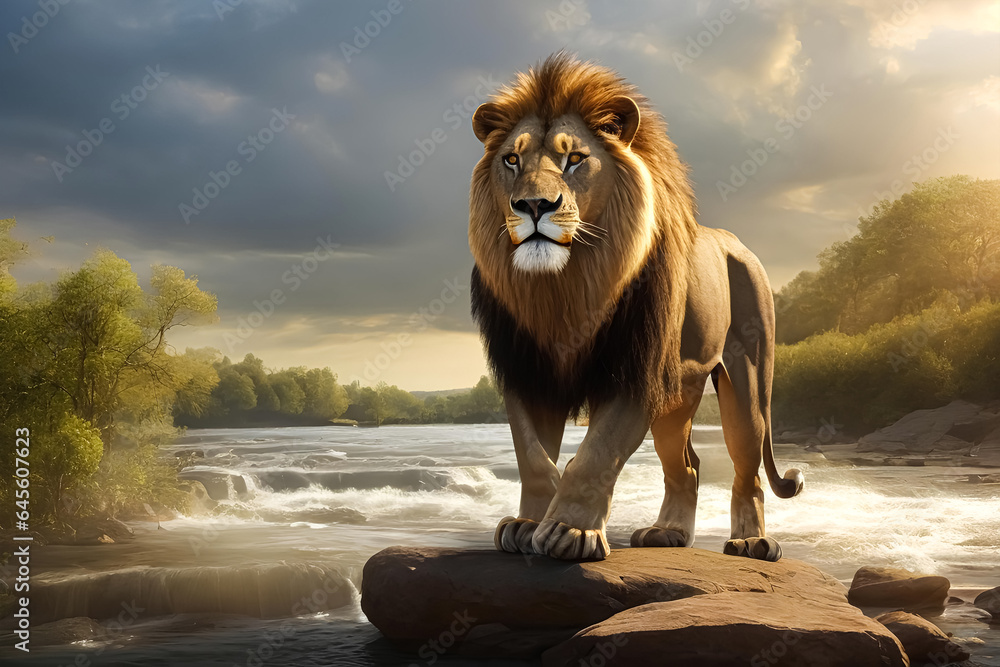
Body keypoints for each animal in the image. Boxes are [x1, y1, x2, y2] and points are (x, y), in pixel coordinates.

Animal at [468, 53, 803, 562]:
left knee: (747, 470)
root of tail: (739, 244)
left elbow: (596, 452)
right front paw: (527, 524)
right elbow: (533, 457)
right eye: (511, 159)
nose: (533, 205)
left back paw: (751, 541)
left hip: (746, 385)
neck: (565, 287)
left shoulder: (635, 370)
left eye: (575, 159)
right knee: (687, 465)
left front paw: (570, 532)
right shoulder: (527, 370)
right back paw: (668, 533)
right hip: (678, 395)